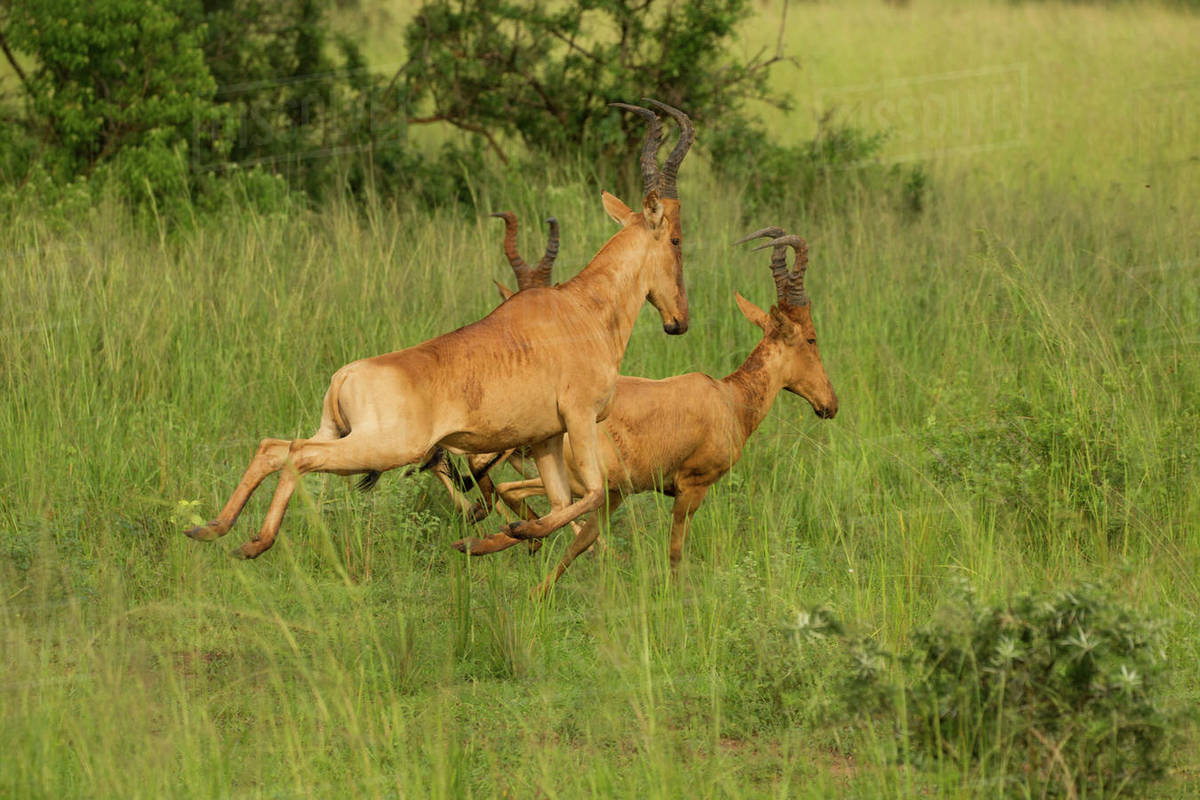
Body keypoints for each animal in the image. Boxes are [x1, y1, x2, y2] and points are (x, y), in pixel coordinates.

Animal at [184, 100, 695, 559]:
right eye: (675, 239)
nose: (679, 322)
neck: (579, 309)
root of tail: (345, 375)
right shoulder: (580, 418)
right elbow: (588, 495)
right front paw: (503, 535)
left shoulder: (545, 436)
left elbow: (558, 501)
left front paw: (483, 540)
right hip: (381, 448)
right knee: (299, 455)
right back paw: (255, 543)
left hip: (336, 430)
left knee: (274, 446)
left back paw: (212, 528)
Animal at [452, 230, 838, 593]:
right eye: (812, 337)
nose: (830, 405)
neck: (727, 397)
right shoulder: (691, 487)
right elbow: (674, 550)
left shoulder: (624, 493)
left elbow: (585, 540)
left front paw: (535, 590)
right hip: (583, 480)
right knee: (522, 494)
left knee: (515, 492)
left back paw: (483, 541)